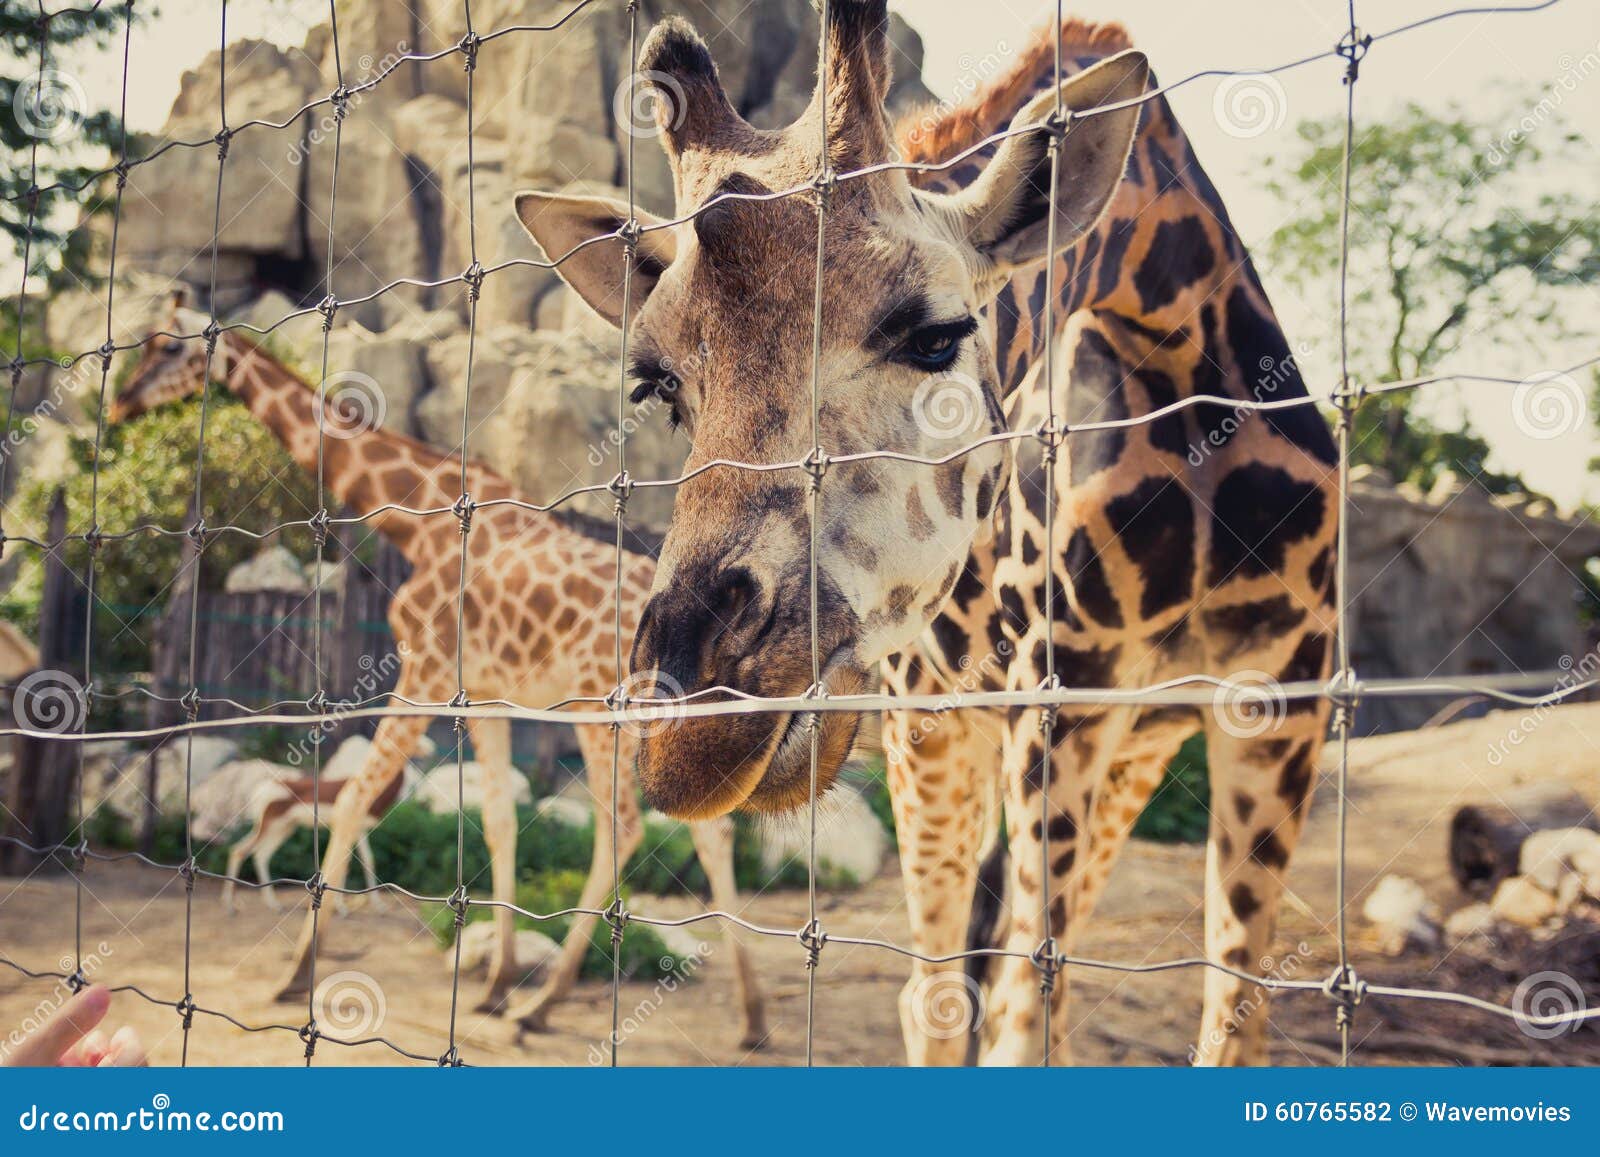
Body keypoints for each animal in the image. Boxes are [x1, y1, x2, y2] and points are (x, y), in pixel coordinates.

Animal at [109, 297, 767, 1047]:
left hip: (599, 708)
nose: (120, 403)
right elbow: (499, 822)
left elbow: (355, 797)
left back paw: (546, 1005)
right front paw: (495, 982)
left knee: (625, 825)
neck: (415, 521)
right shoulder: (486, 694)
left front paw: (299, 973)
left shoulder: (422, 670)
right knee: (707, 827)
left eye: (166, 346)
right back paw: (749, 1017)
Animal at [516, 5, 1337, 1066]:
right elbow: (1002, 1010)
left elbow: (1223, 1021)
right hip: (946, 723)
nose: (687, 730)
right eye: (658, 388)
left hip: (1120, 739)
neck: (1184, 372)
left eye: (936, 335)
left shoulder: (1274, 698)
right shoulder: (1036, 705)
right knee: (941, 993)